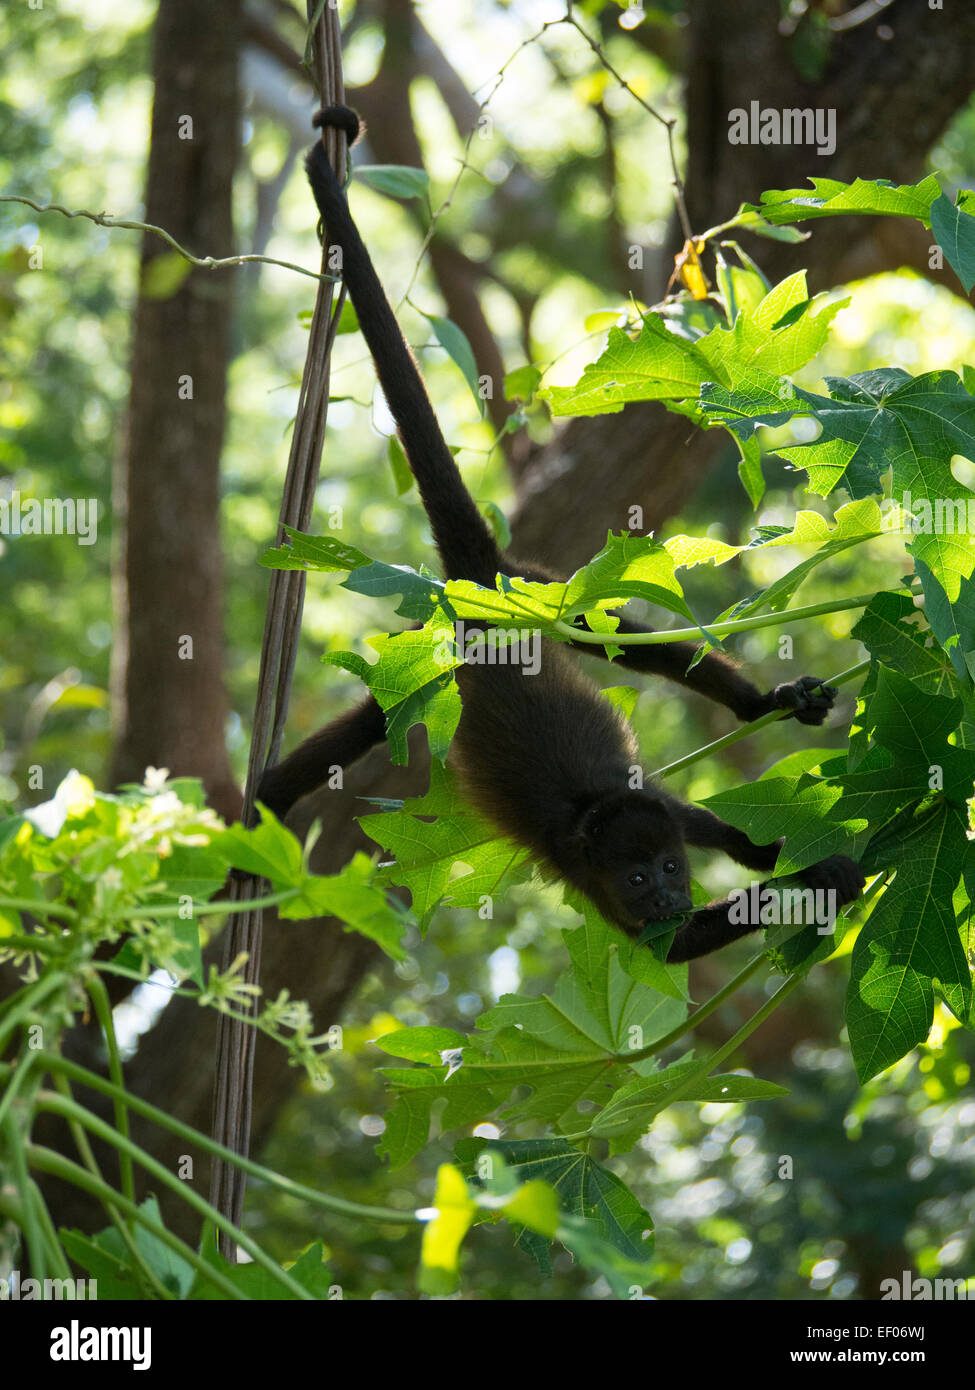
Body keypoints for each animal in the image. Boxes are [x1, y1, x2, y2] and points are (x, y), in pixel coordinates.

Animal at [257, 106, 865, 963]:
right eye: (637, 879)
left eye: (669, 866)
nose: (668, 893)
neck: (592, 813)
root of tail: (483, 587)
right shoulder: (590, 862)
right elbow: (672, 946)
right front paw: (816, 882)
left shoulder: (665, 809)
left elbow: (729, 833)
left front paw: (808, 863)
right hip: (443, 658)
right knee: (362, 732)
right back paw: (260, 807)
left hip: (541, 595)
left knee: (614, 638)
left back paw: (762, 703)